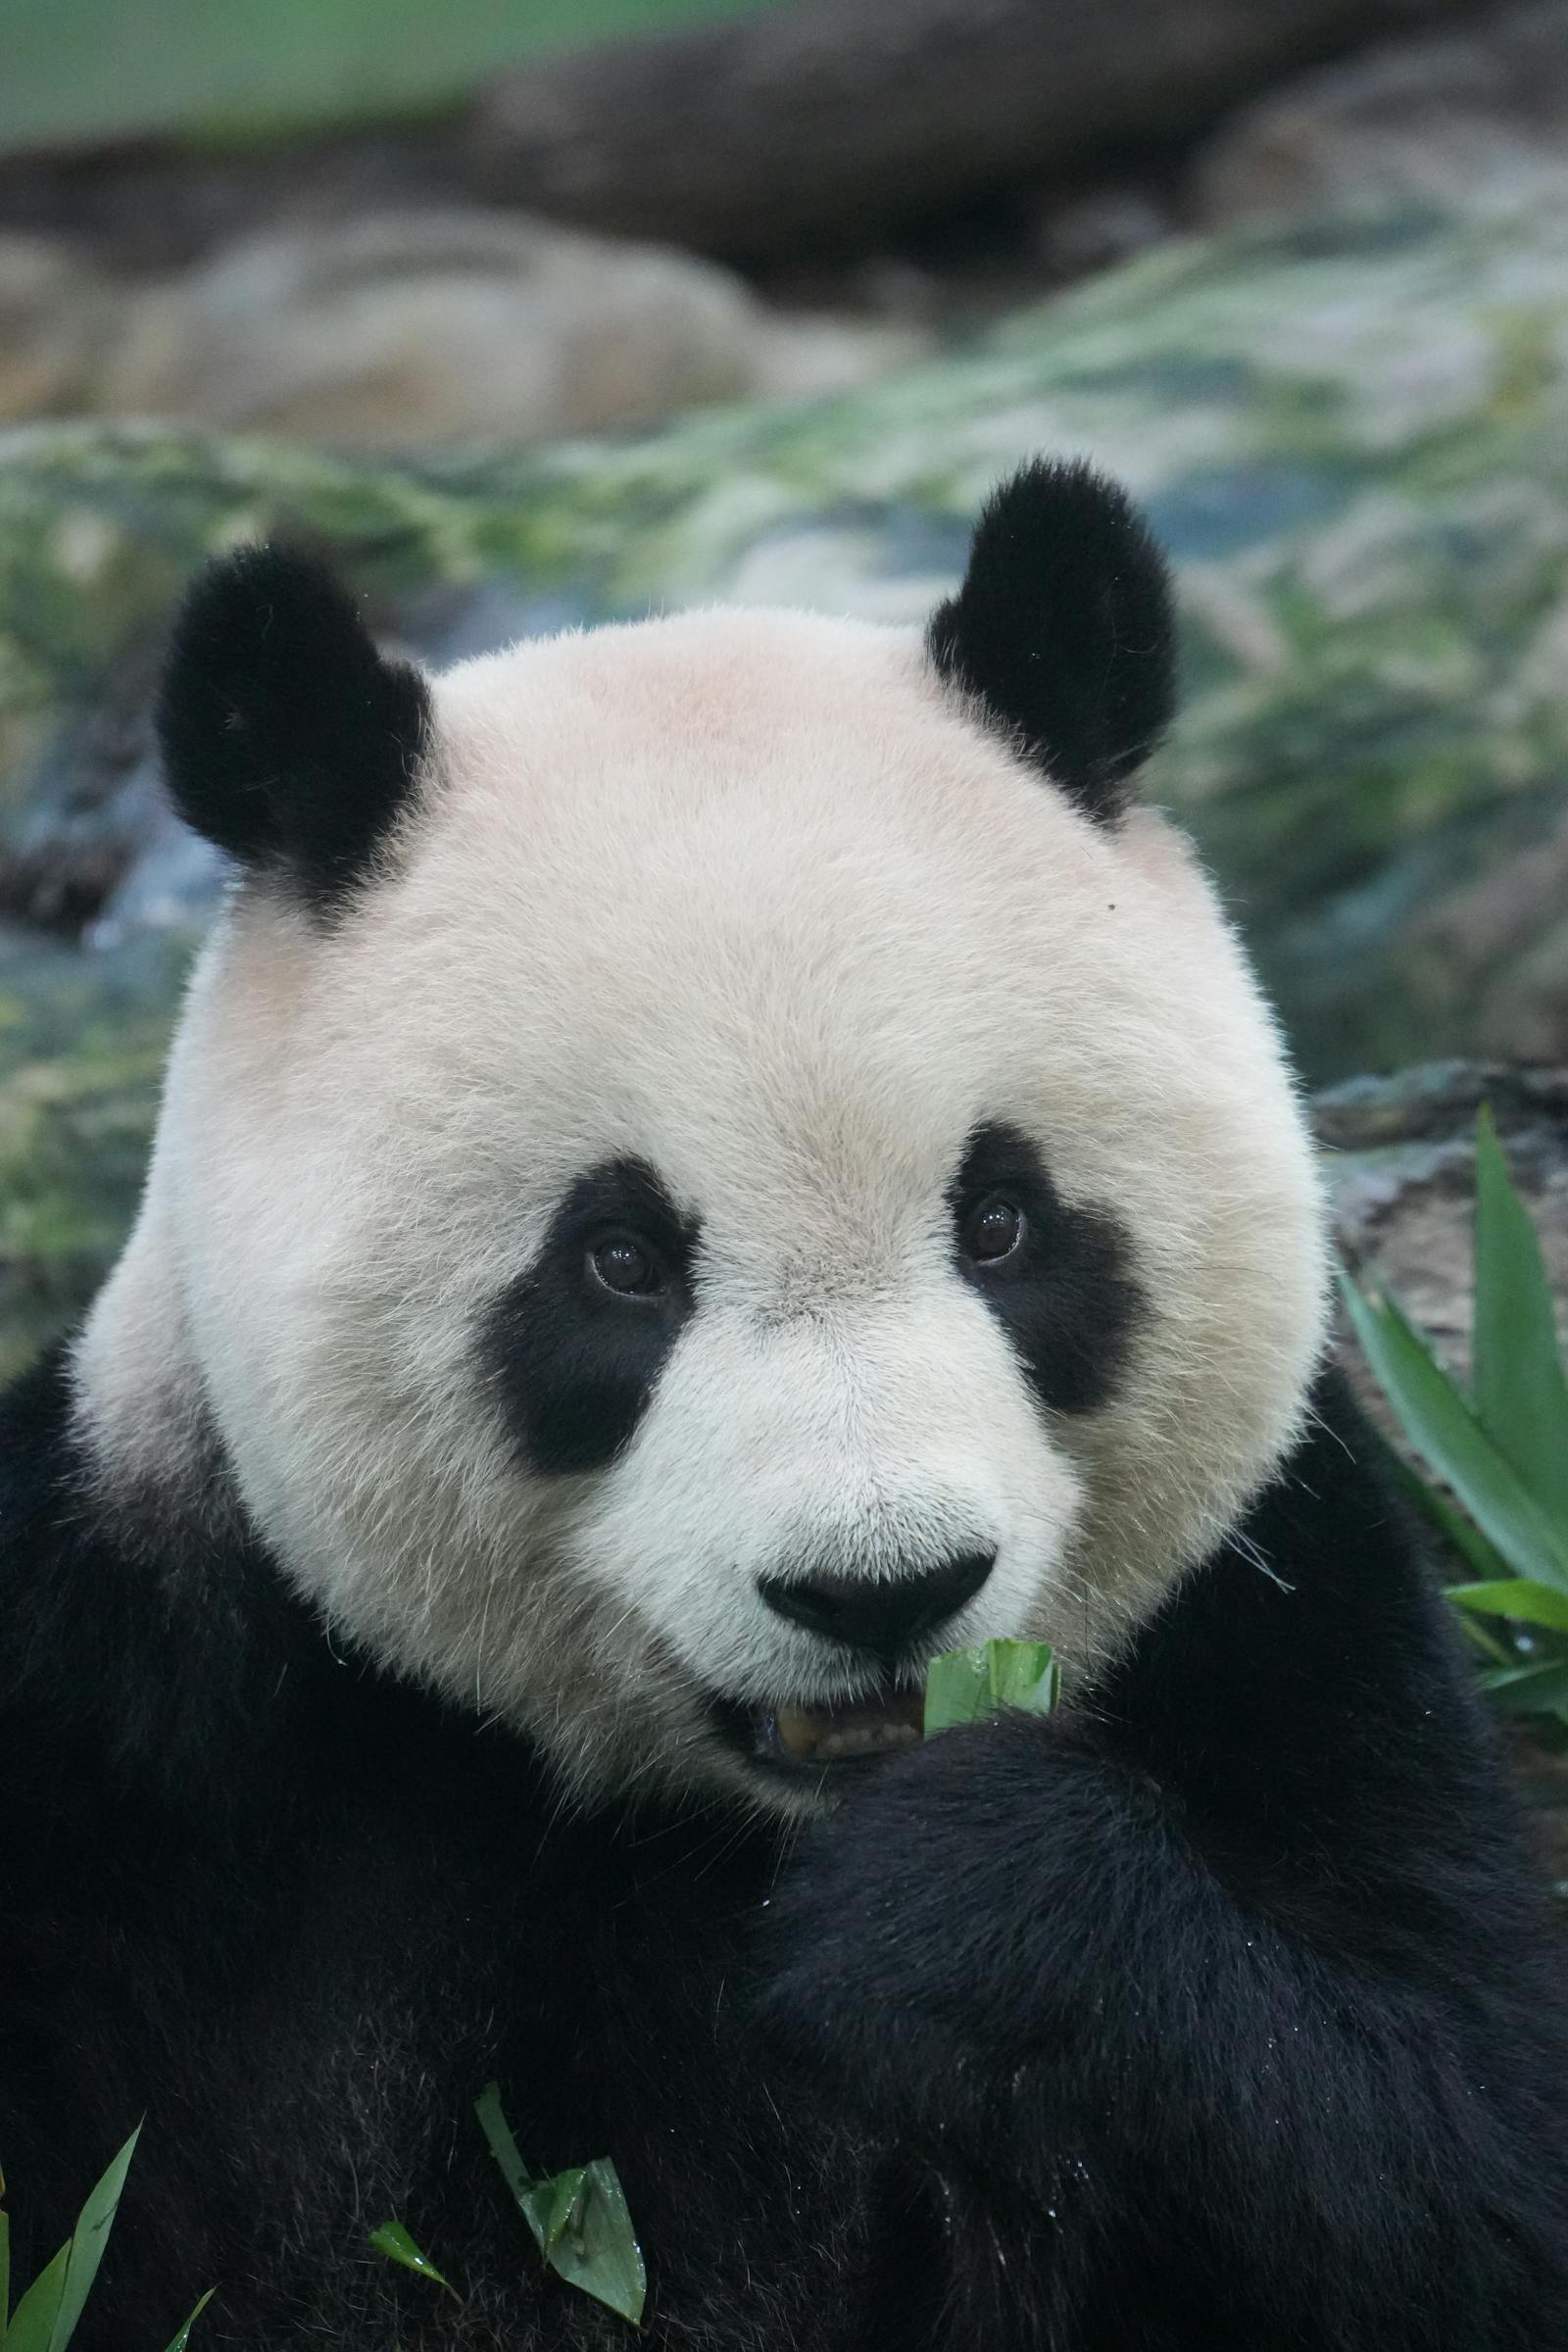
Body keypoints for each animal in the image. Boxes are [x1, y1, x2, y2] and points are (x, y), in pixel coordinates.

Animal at [1, 459, 1565, 2351]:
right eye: (617, 1262)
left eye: (1001, 1221)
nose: (881, 1590)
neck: (718, 1839)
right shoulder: (145, 1704)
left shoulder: (1293, 1616)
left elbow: (1462, 2145)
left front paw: (960, 1910)